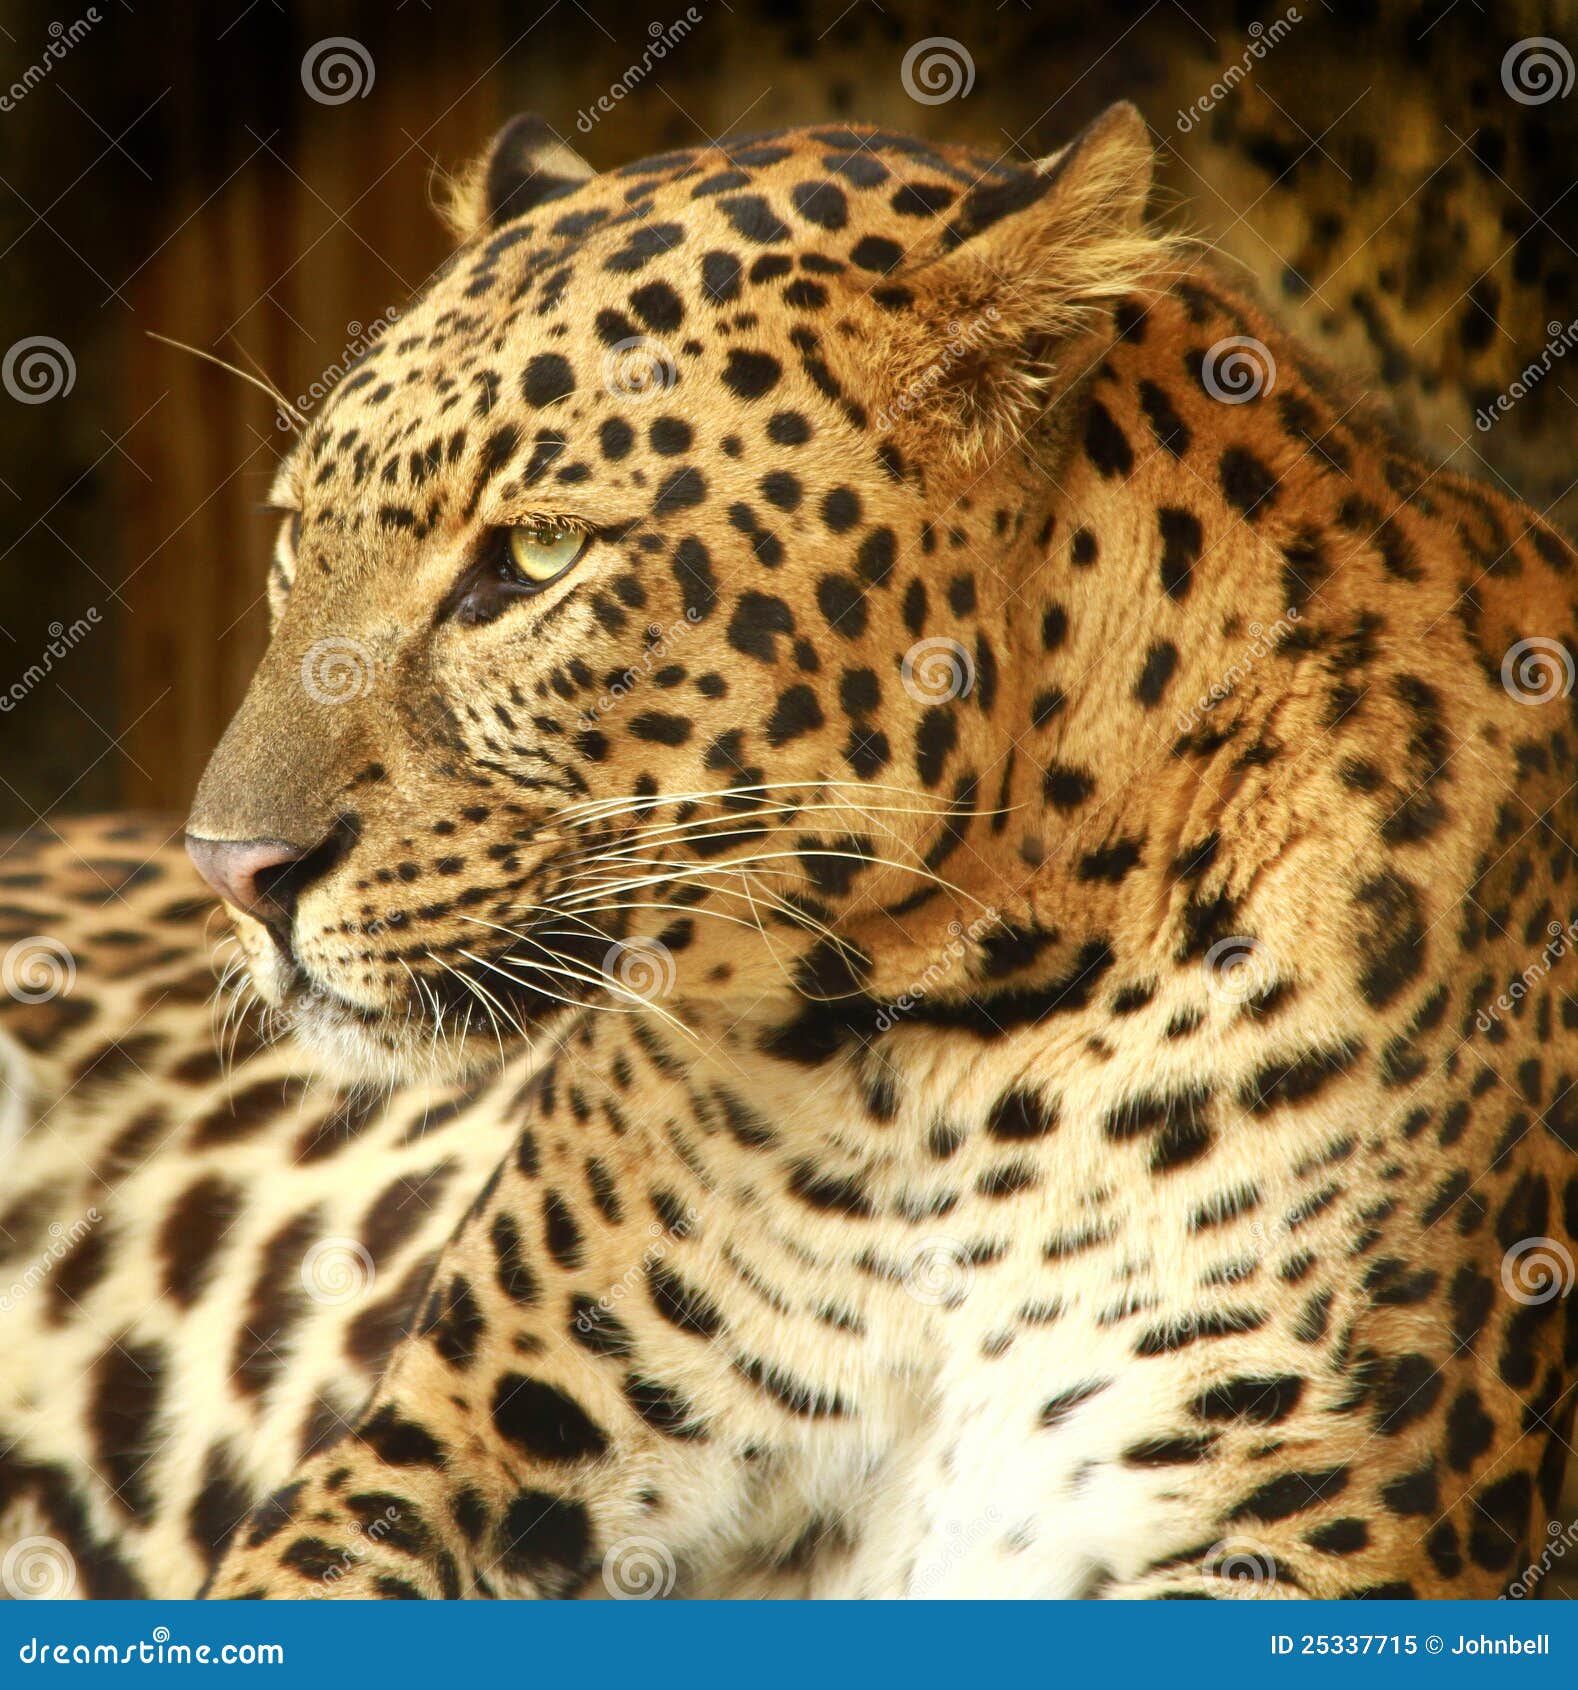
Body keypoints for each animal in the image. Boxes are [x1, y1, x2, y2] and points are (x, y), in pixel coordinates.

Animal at [3, 102, 1578, 1602]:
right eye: (296, 538)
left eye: (538, 556)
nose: (234, 868)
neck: (940, 1076)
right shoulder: (433, 1459)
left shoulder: (1300, 1537)